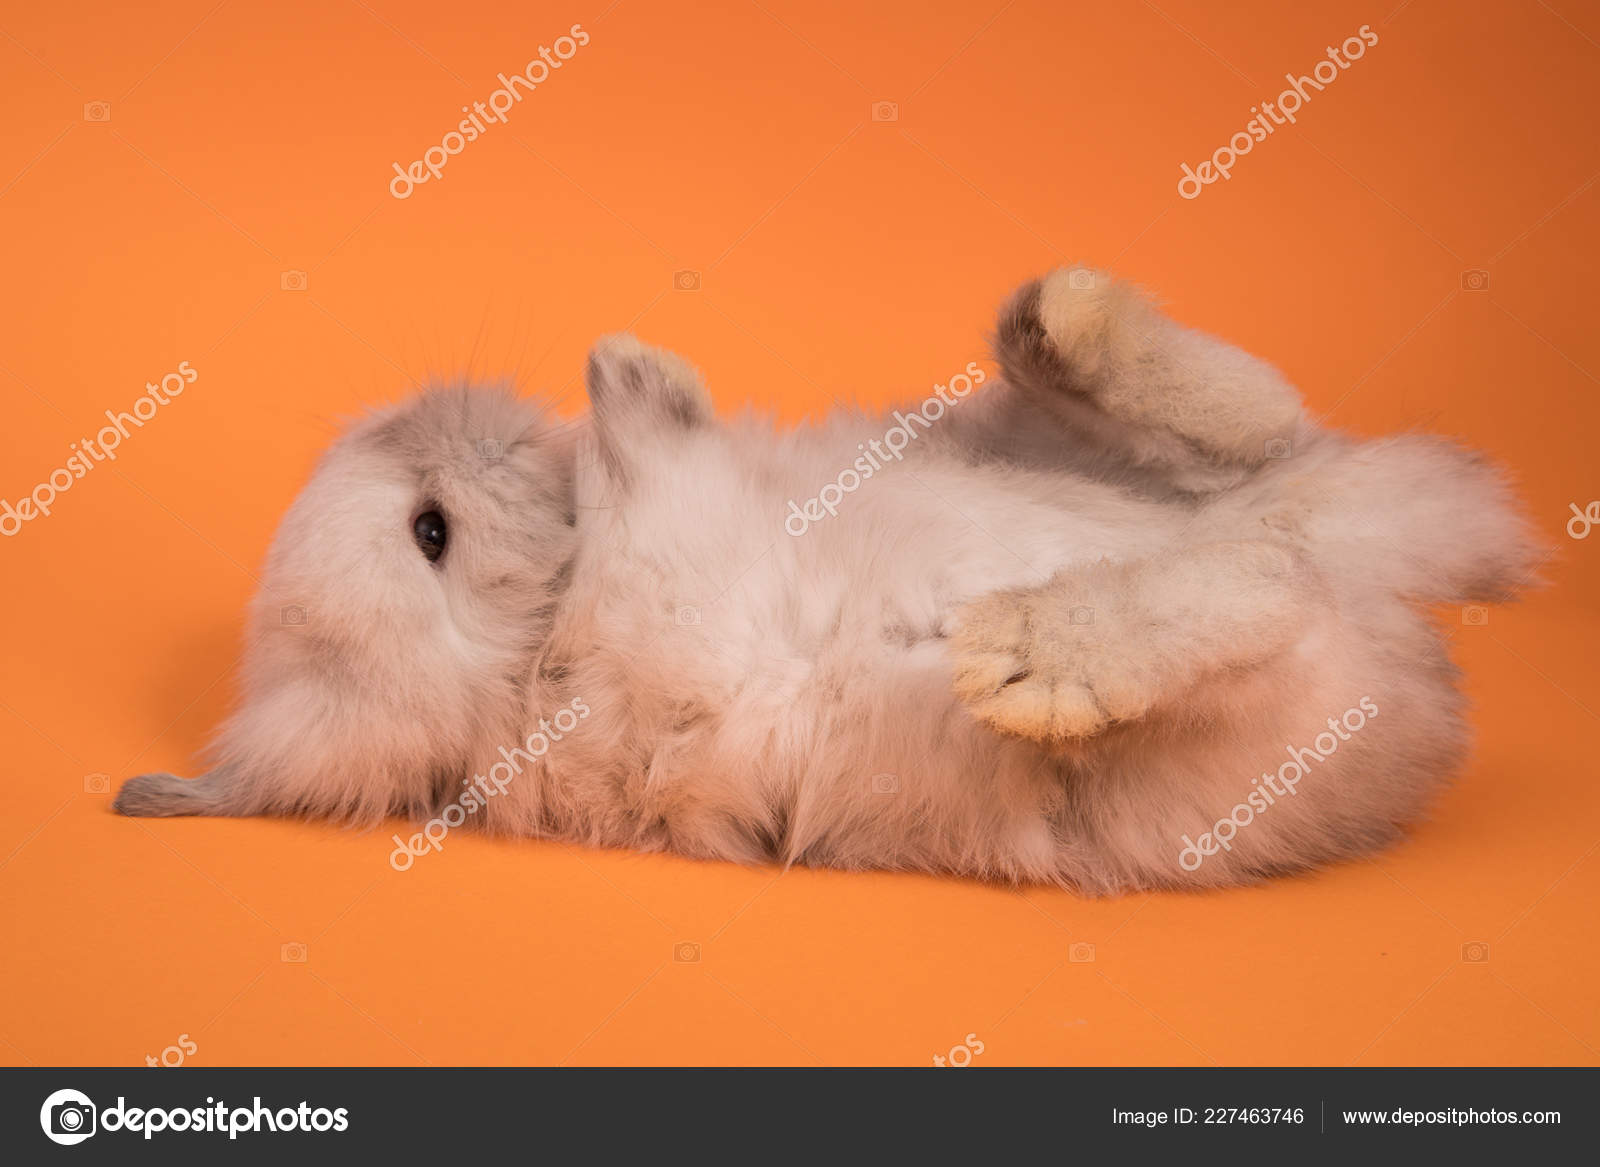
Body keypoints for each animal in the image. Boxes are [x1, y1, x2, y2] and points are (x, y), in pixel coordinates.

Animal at [112, 267, 1540, 893]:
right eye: (428, 534)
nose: (452, 415)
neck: (537, 645)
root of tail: (1373, 540)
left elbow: (651, 449)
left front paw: (625, 357)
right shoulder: (675, 617)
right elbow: (650, 477)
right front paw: (627, 388)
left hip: (1050, 445)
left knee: (1245, 431)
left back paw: (1062, 322)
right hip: (1244, 726)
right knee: (1257, 588)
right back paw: (1038, 649)